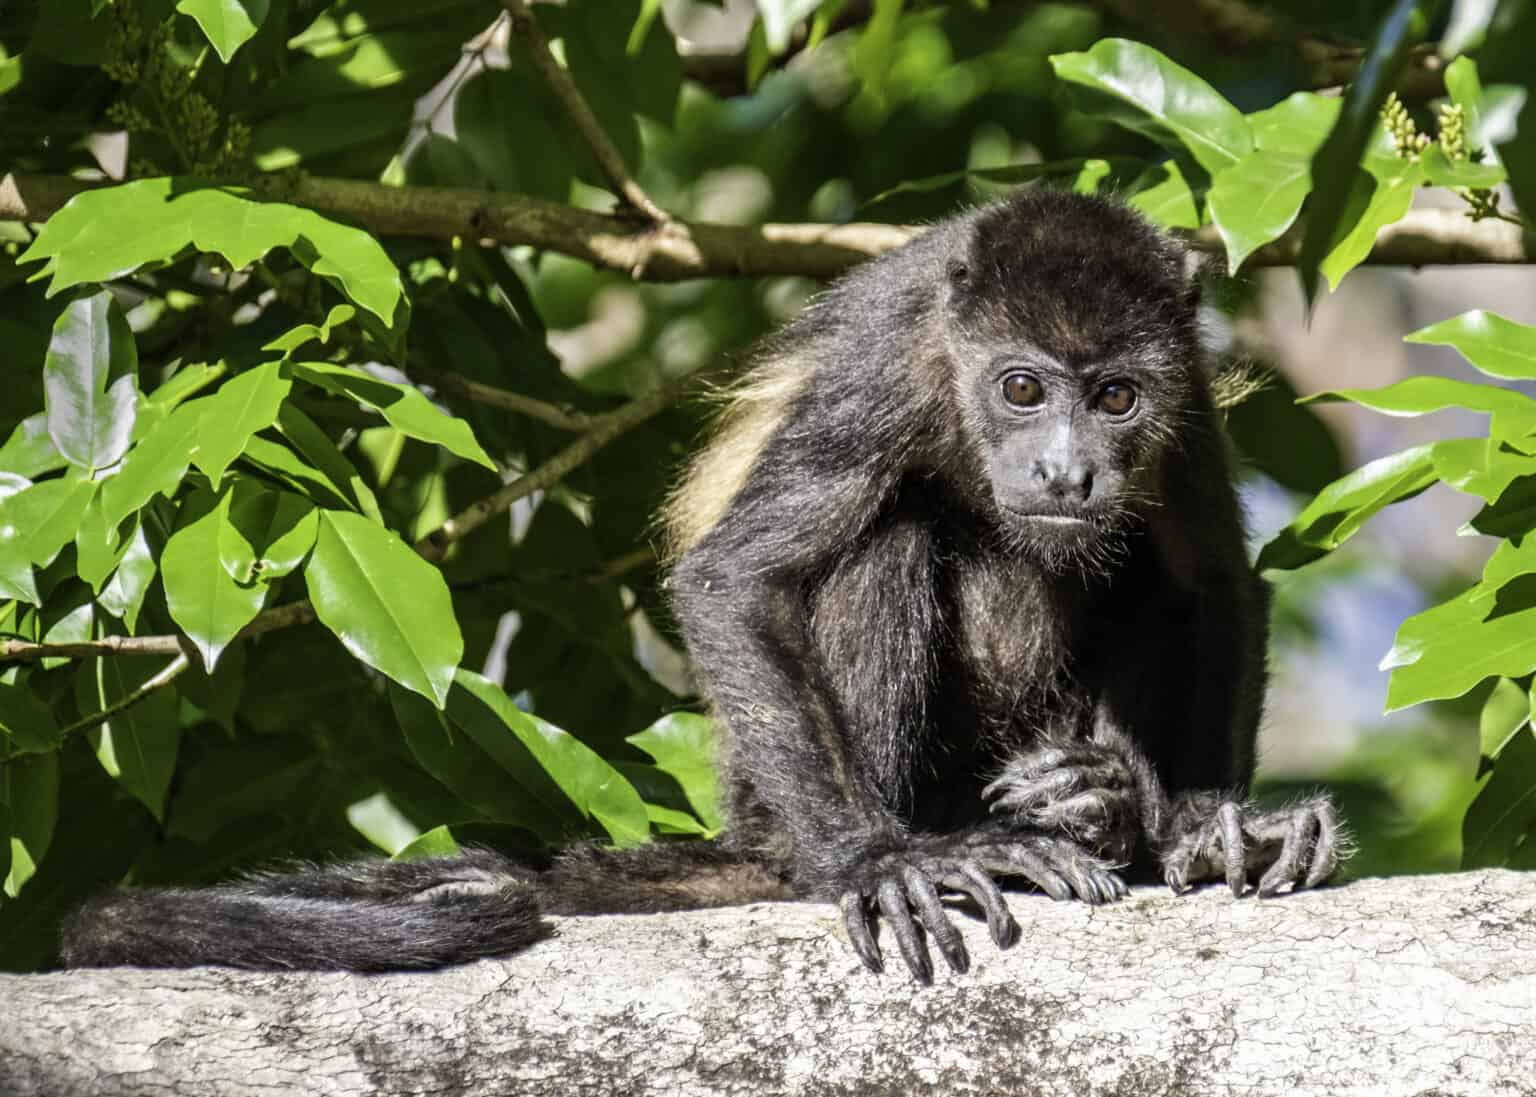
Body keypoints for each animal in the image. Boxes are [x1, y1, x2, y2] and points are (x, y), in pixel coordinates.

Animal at [60, 189, 1343, 983]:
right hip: (780, 799)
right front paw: (880, 862)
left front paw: (1200, 825)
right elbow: (739, 576)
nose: (1069, 468)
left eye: (1118, 396)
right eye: (1023, 388)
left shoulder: (1187, 394)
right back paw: (947, 834)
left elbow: (1216, 583)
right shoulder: (885, 367)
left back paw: (1100, 800)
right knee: (889, 536)